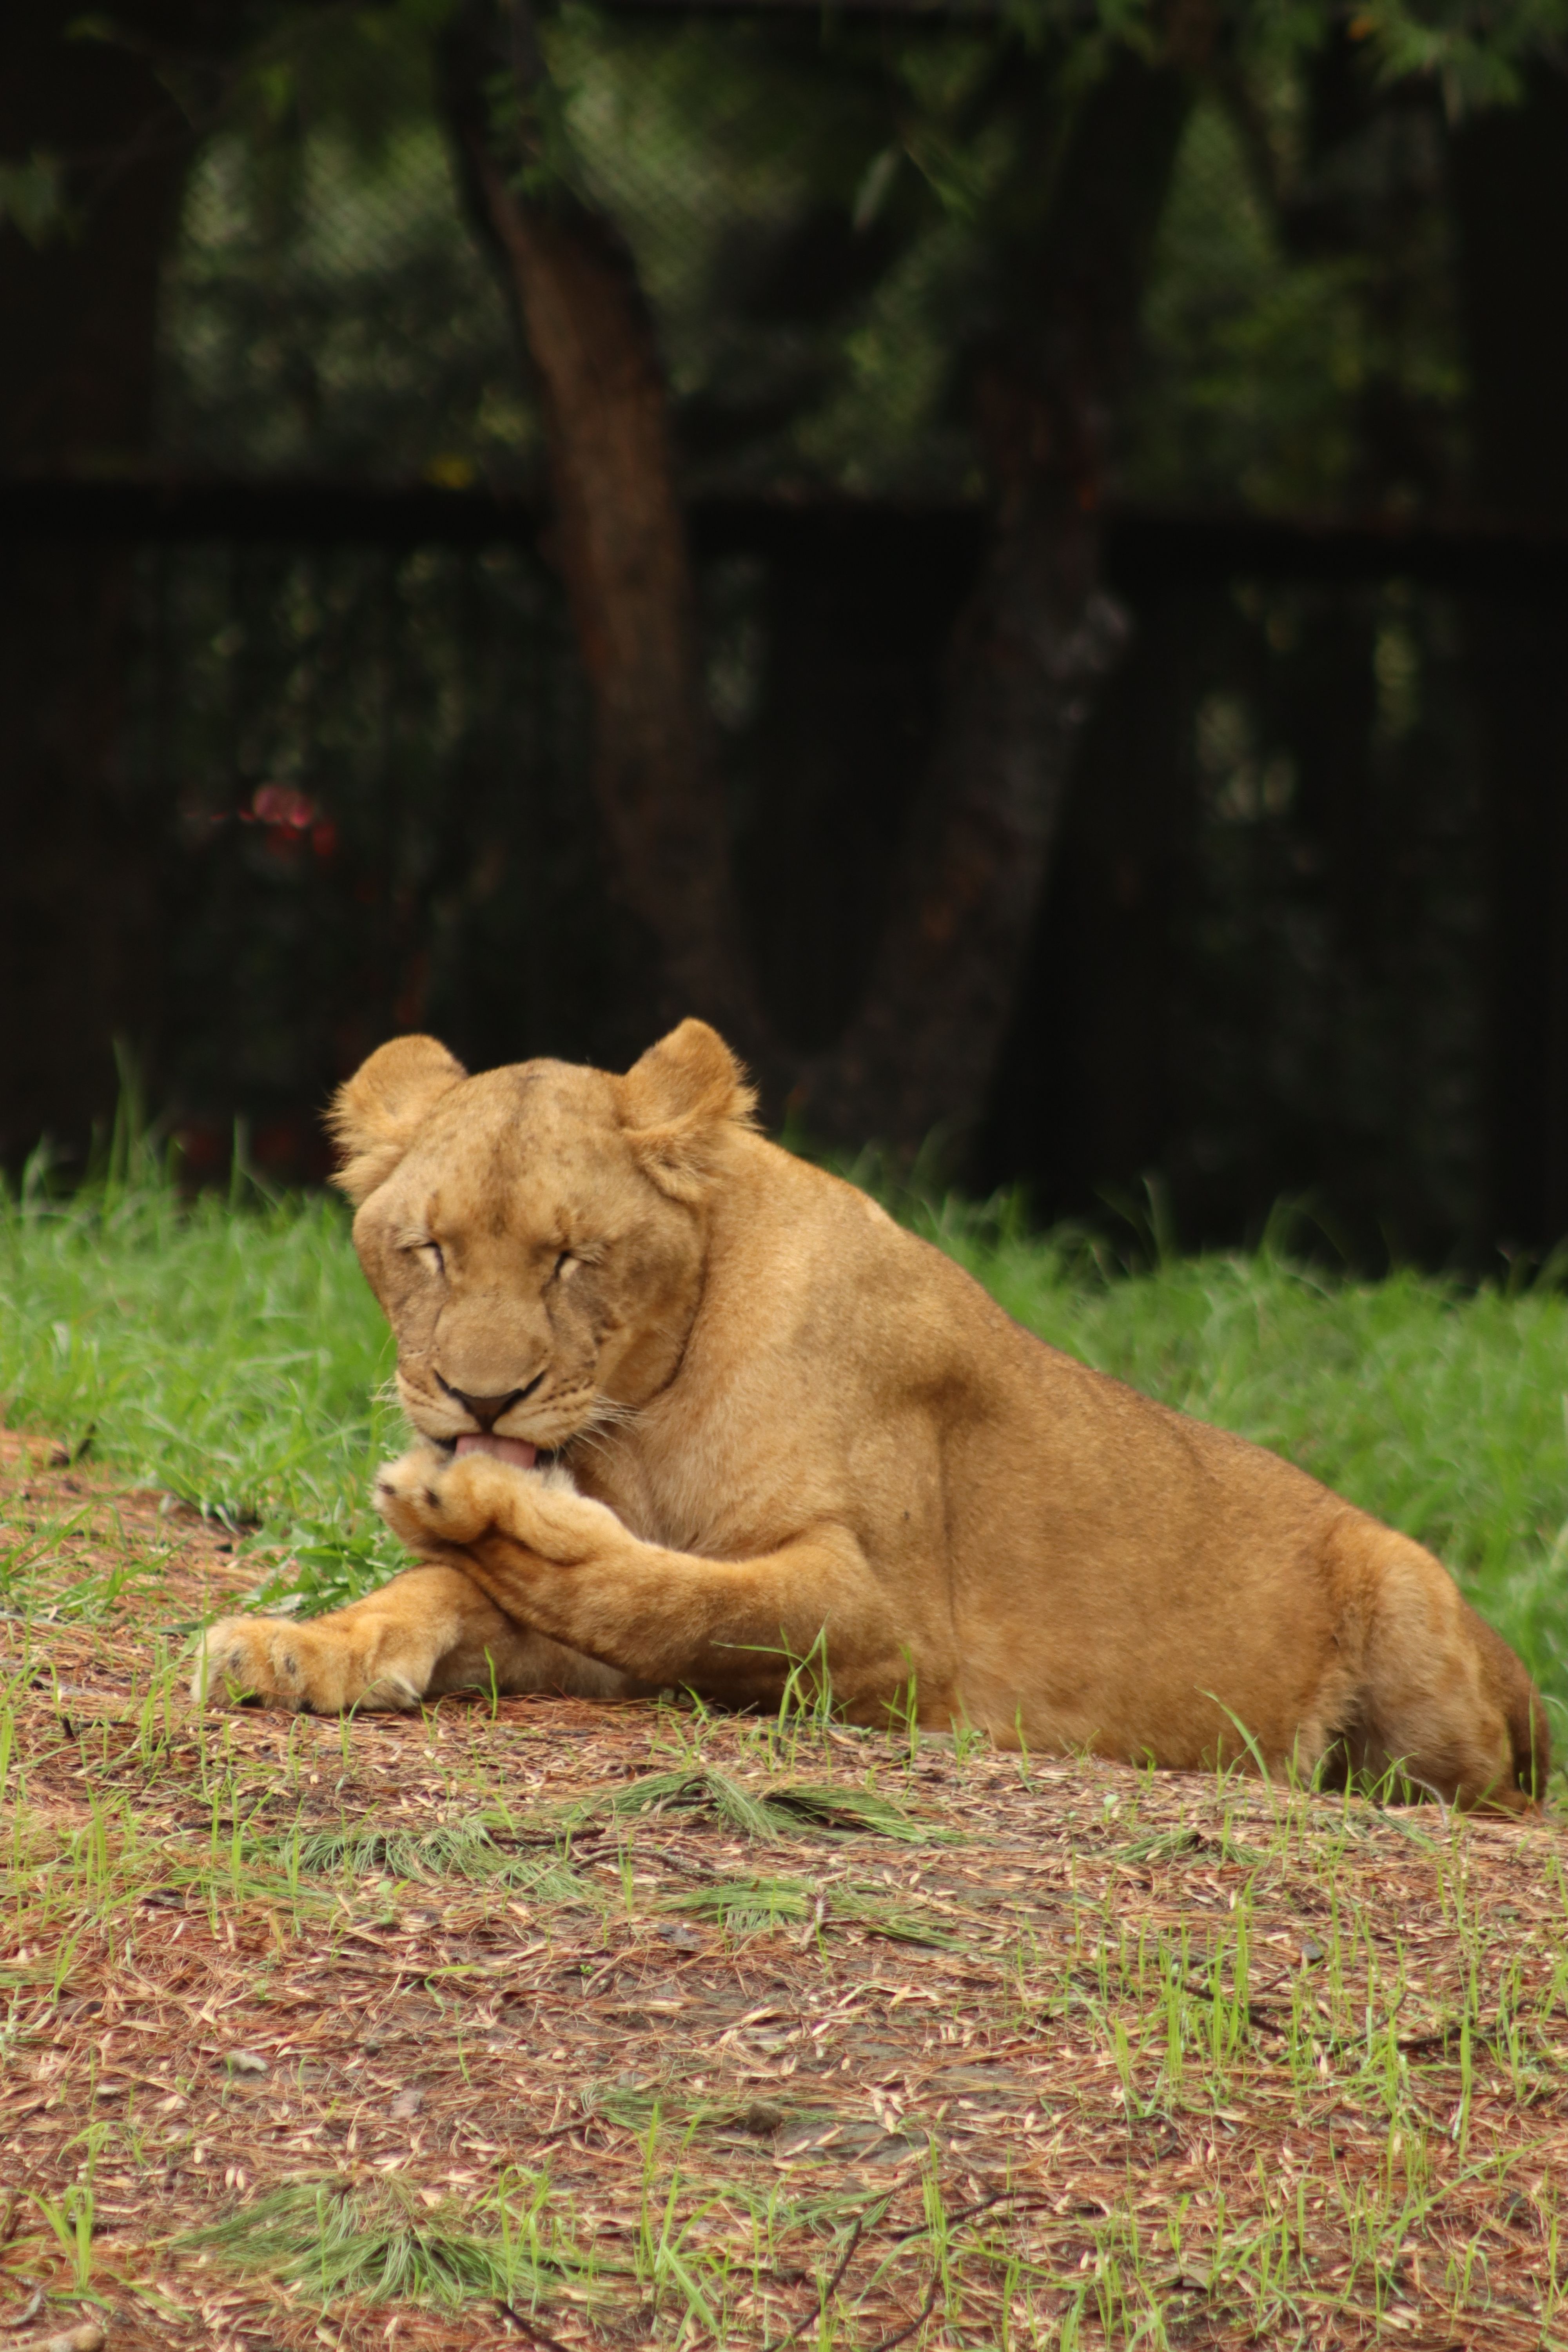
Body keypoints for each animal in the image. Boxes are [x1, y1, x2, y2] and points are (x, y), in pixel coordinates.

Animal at [194, 1019, 1548, 1812]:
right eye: (425, 1249)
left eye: (573, 1258)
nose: (481, 1398)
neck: (644, 1419)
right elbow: (450, 1596)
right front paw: (298, 1647)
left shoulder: (895, 1626)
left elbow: (669, 1594)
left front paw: (475, 1503)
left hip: (1411, 1598)